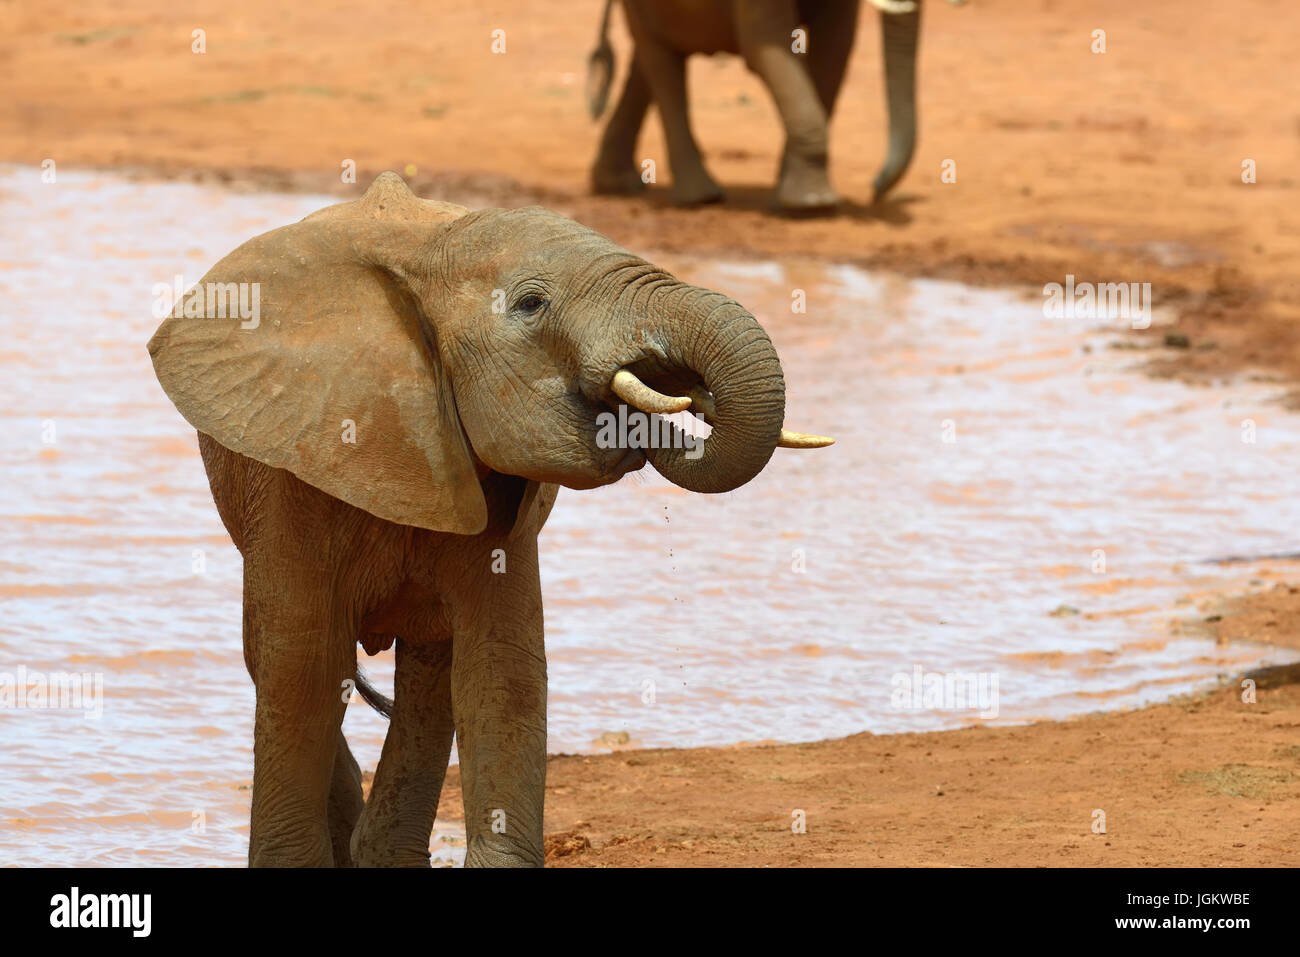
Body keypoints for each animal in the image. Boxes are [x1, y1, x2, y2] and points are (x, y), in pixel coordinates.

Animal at [146, 171, 833, 867]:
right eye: (531, 305)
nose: (682, 396)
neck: (433, 246)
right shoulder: (298, 470)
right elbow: (303, 670)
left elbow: (501, 669)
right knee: (286, 660)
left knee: (428, 673)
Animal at [587, 0, 959, 210]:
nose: (876, 189)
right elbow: (763, 43)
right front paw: (811, 206)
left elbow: (836, 43)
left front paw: (788, 197)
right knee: (660, 59)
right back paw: (701, 199)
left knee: (649, 60)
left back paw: (619, 184)